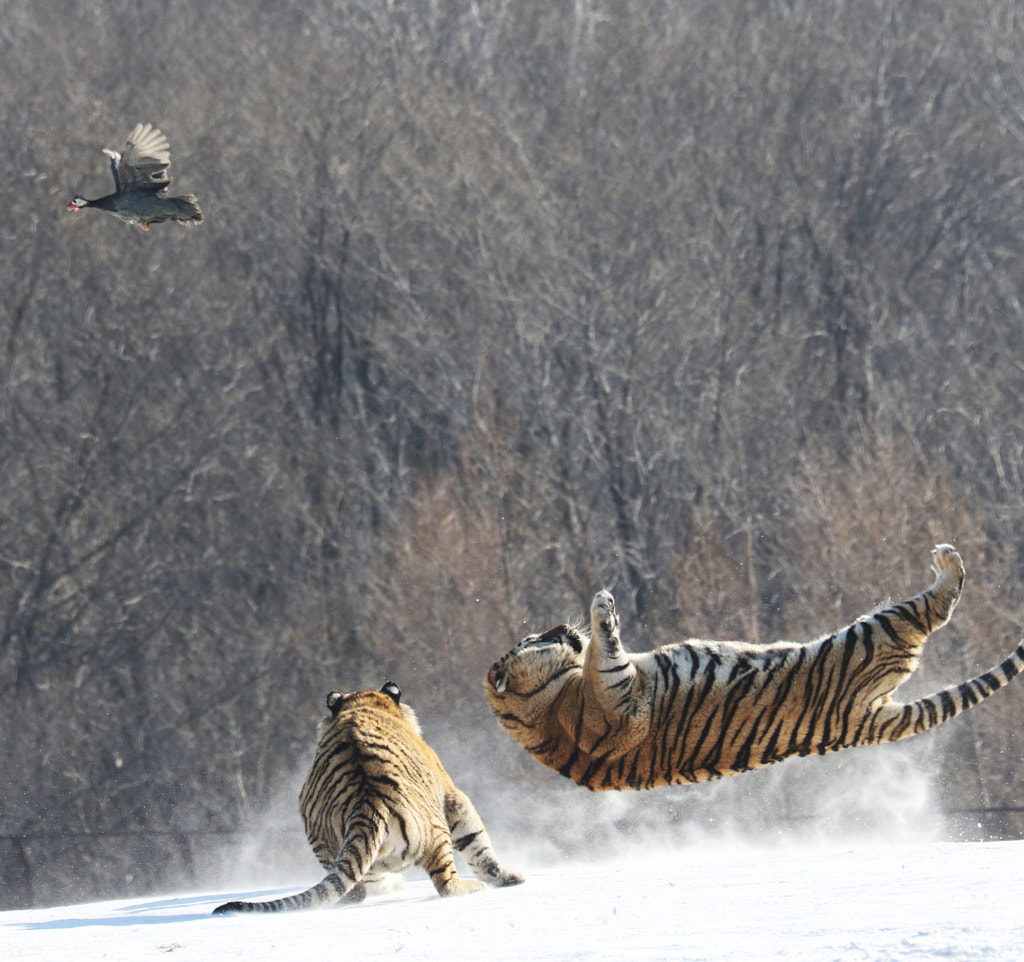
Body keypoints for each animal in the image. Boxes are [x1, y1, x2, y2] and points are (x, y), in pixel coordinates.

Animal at [214, 682, 523, 914]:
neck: (361, 704)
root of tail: (368, 803)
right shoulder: (453, 797)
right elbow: (478, 843)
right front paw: (510, 878)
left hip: (325, 842)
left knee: (355, 889)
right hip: (436, 833)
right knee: (445, 883)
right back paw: (471, 887)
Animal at [485, 544, 1024, 791]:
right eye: (533, 640)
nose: (559, 626)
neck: (547, 705)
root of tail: (863, 718)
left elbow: (604, 648)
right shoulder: (616, 698)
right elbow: (605, 647)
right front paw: (603, 605)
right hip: (872, 636)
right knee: (935, 607)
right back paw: (947, 561)